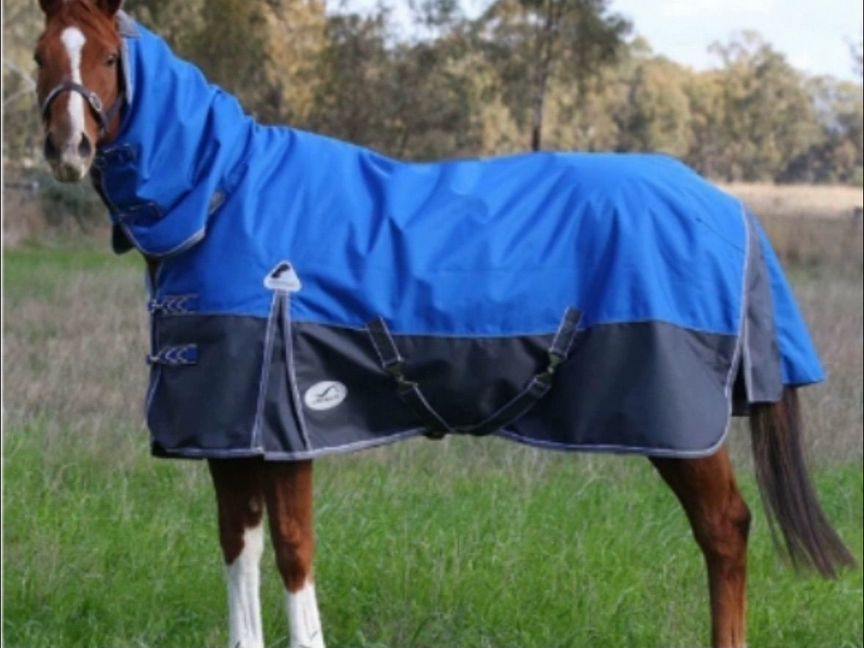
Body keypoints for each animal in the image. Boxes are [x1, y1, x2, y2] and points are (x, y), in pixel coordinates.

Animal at [32, 2, 855, 647]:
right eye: (40, 55)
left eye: (110, 57)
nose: (68, 151)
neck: (222, 196)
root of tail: (728, 203)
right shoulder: (229, 434)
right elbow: (240, 548)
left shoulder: (289, 427)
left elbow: (295, 554)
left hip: (683, 427)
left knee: (725, 529)